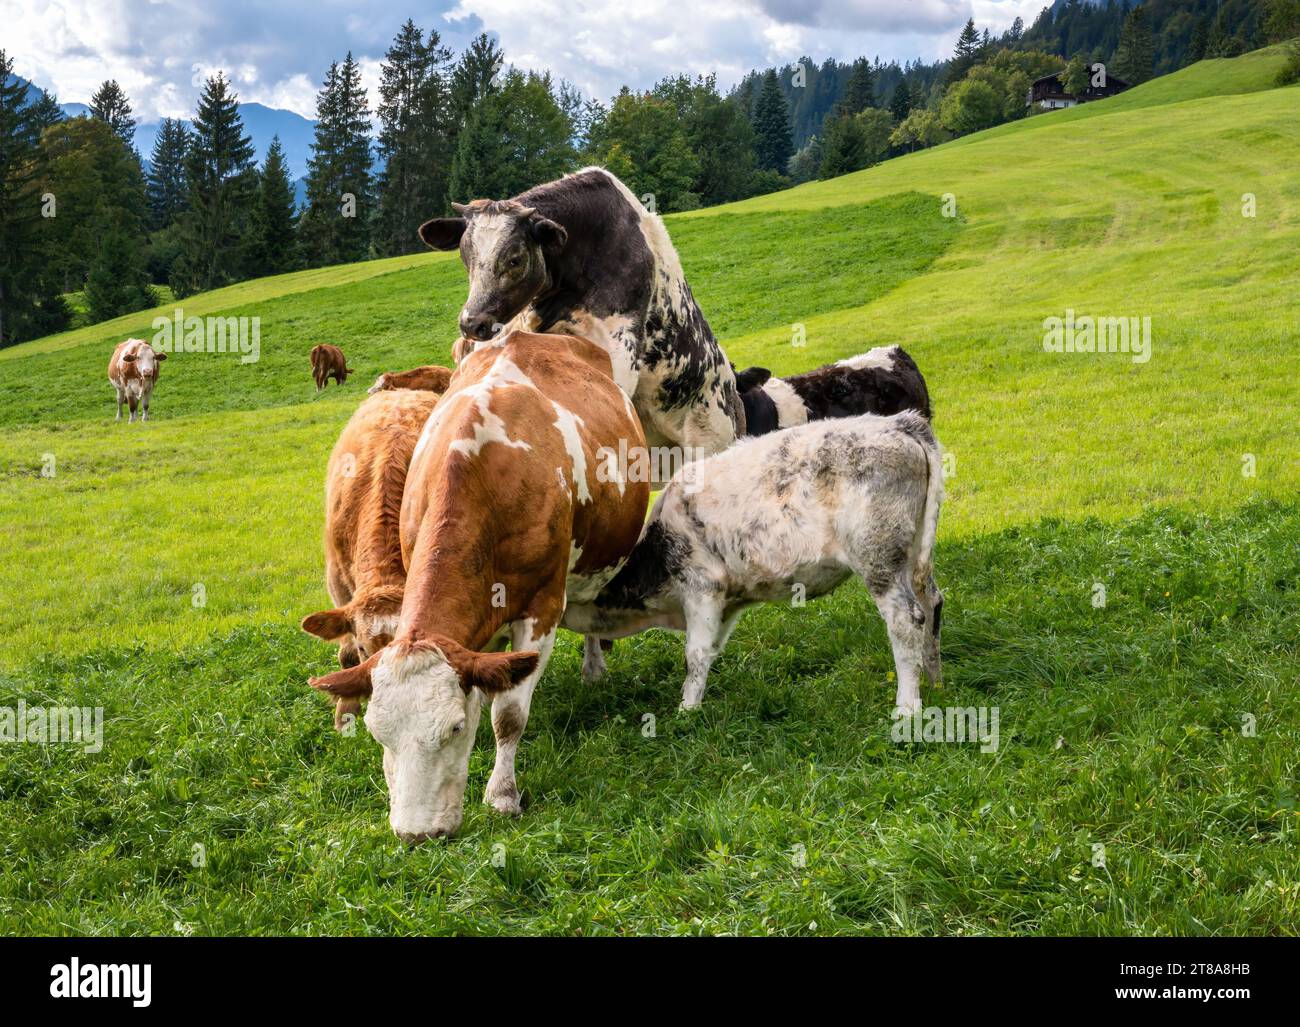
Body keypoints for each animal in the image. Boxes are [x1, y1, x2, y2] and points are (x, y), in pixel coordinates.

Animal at [564, 410, 945, 715]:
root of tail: (898, 423)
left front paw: (686, 710)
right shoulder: (727, 601)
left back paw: (907, 706)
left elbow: (695, 654)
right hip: (911, 555)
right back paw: (934, 681)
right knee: (932, 603)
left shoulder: (702, 586)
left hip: (879, 557)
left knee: (906, 618)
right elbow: (710, 651)